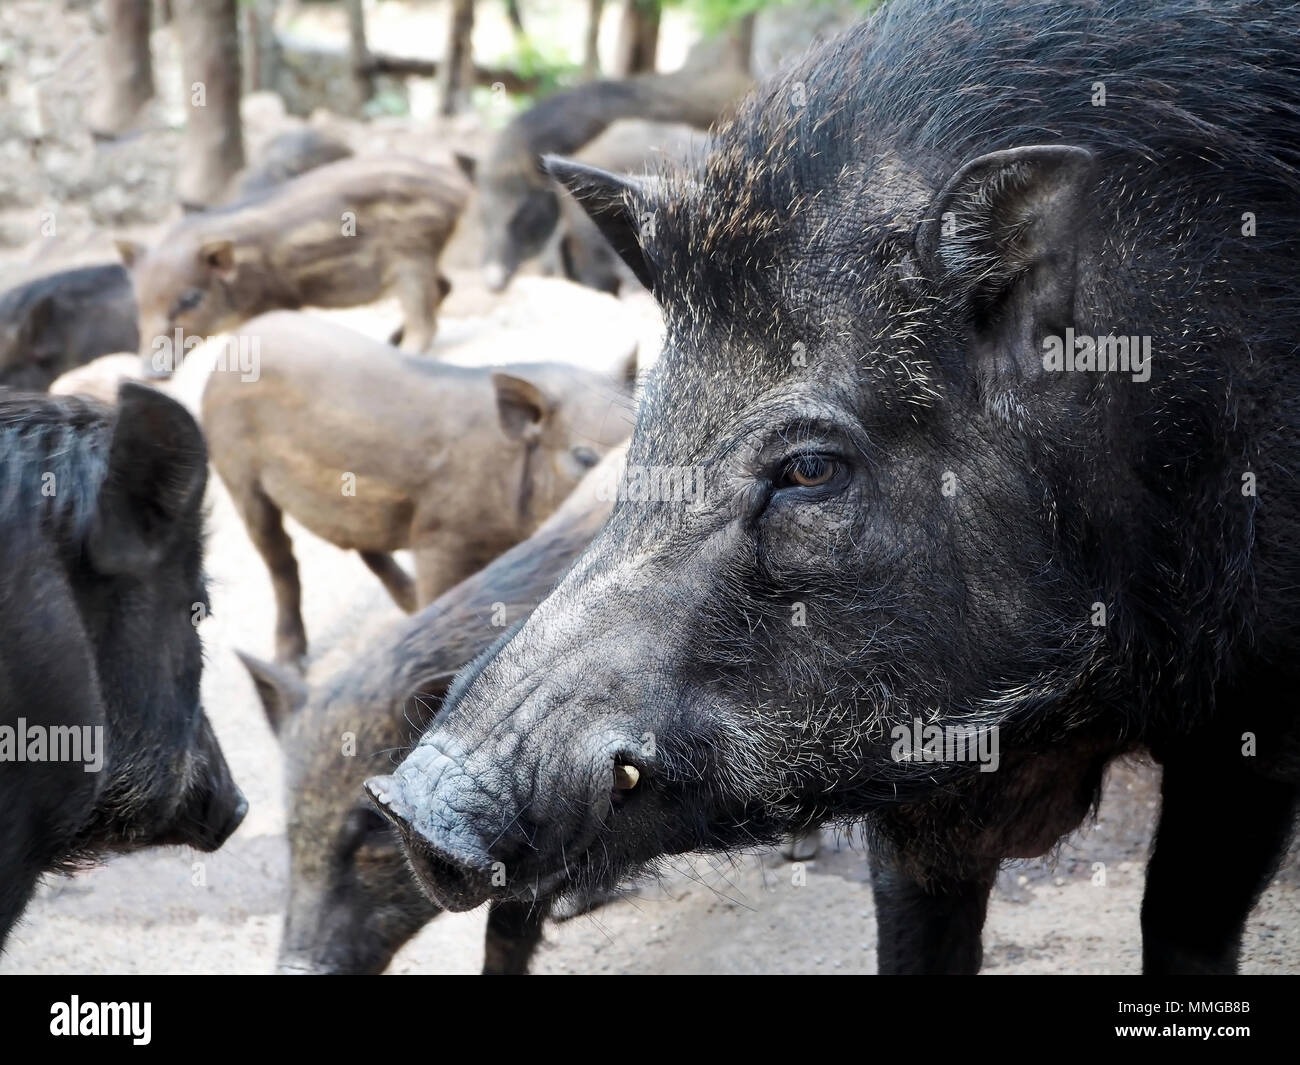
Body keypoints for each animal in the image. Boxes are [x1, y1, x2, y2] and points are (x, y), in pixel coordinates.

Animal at [116, 154, 467, 372]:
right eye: (139, 304)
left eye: (191, 299)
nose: (148, 372)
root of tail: (458, 191)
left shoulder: (279, 300)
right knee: (444, 287)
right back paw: (391, 340)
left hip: (411, 258)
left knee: (426, 324)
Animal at [202, 311, 635, 666]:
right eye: (584, 457)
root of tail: (230, 346)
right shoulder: (438, 537)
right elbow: (441, 594)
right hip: (236, 475)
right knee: (280, 559)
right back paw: (291, 661)